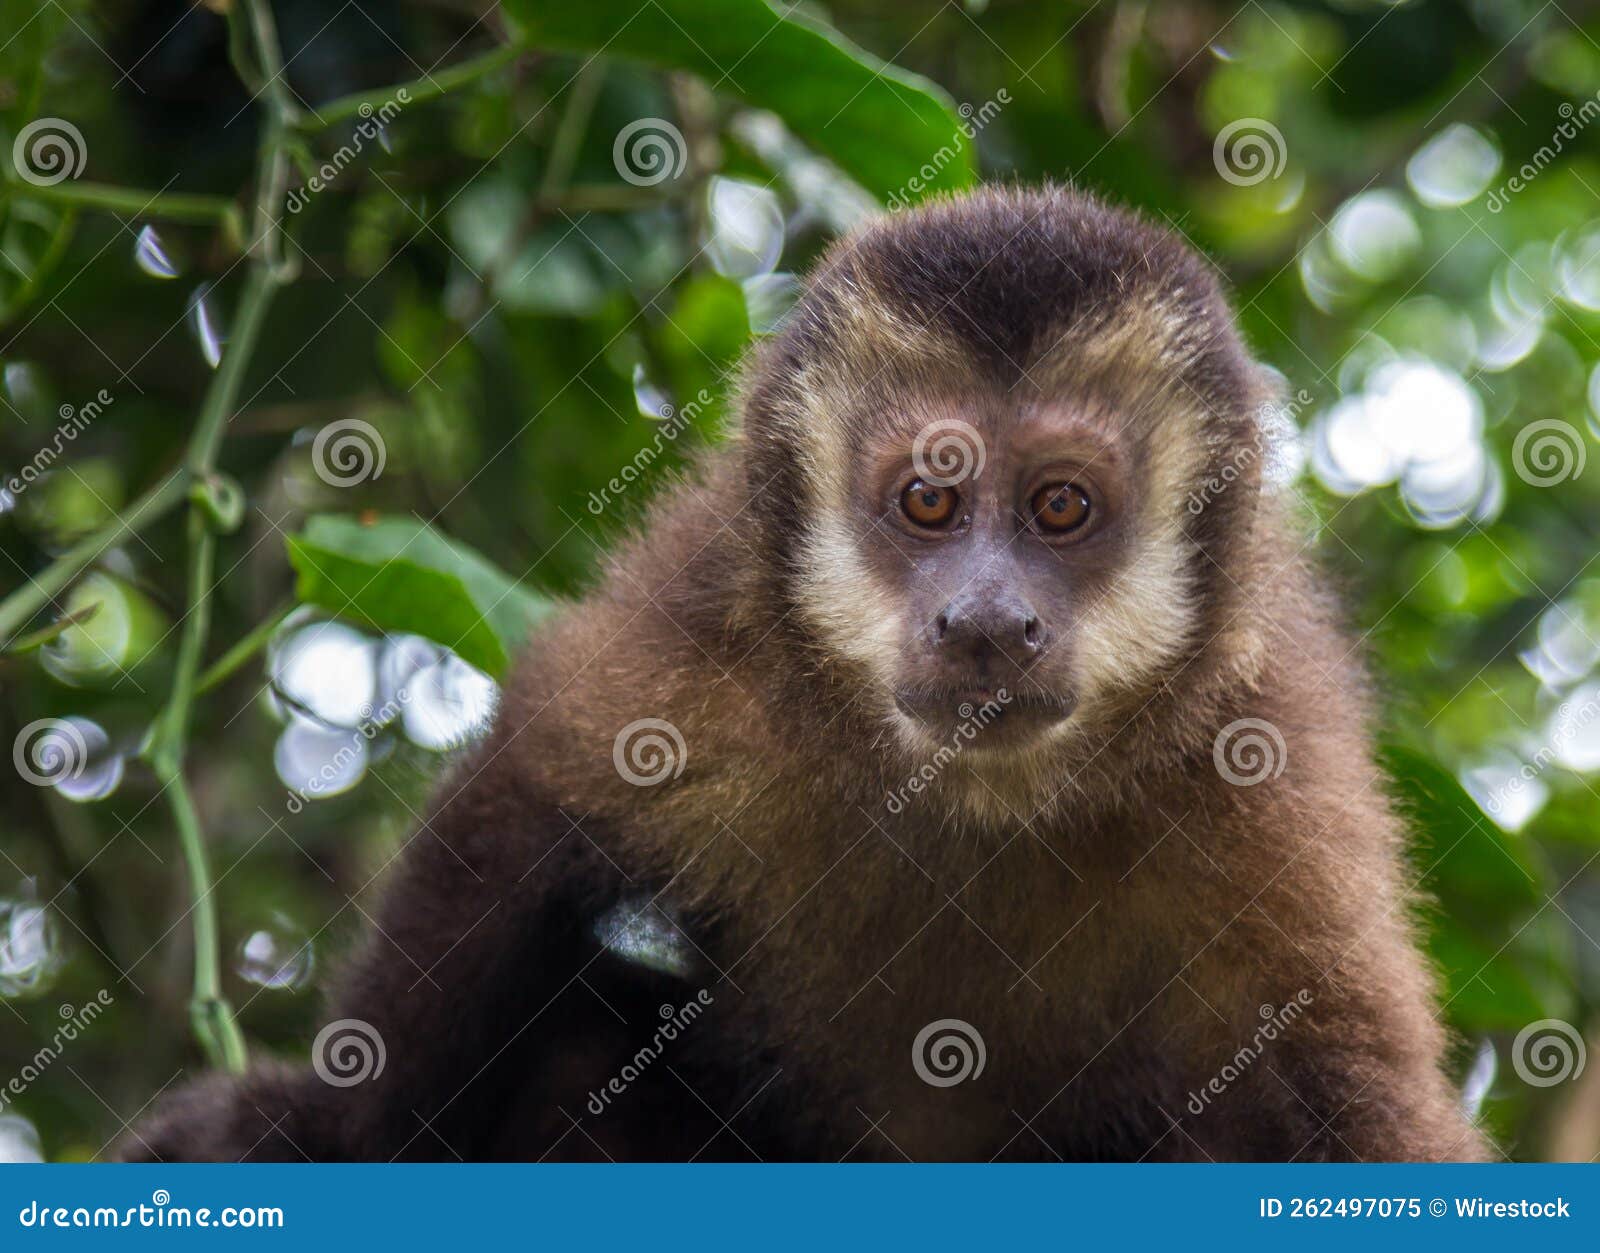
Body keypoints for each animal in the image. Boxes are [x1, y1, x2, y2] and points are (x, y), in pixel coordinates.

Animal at [119, 185, 1488, 1163]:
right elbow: (530, 799)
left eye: (1060, 508)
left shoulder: (1261, 770)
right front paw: (328, 1133)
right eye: (929, 499)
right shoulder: (708, 630)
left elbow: (1337, 1105)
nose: (984, 620)